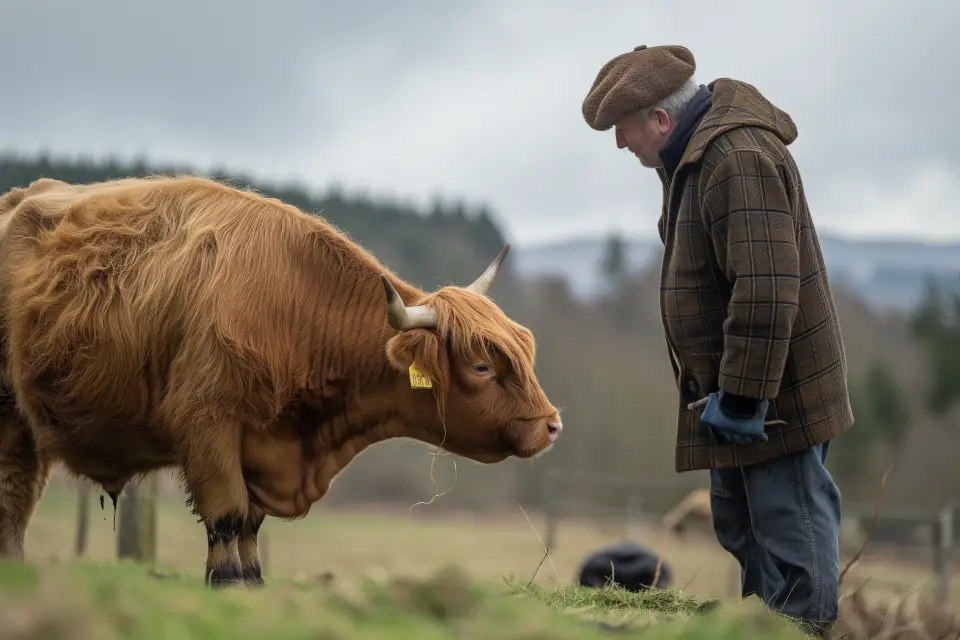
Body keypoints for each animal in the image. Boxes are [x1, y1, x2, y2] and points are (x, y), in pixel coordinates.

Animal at [0, 174, 564, 588]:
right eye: (483, 366)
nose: (552, 425)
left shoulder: (262, 448)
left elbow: (250, 524)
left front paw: (251, 580)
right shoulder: (208, 427)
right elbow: (227, 515)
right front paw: (228, 581)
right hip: (10, 417)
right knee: (14, 493)